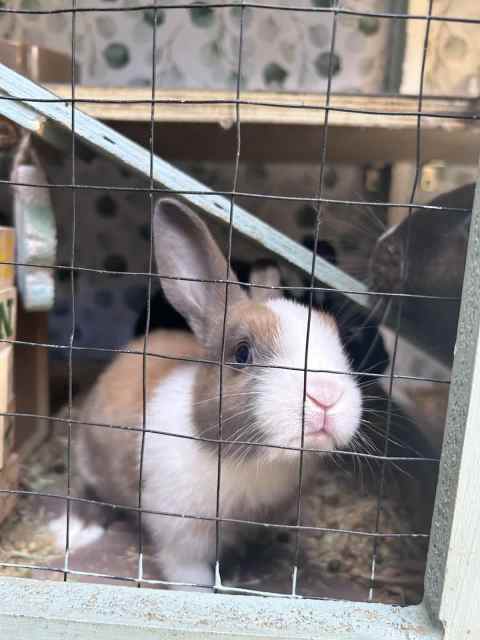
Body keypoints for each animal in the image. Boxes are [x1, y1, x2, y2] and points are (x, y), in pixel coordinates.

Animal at [69, 198, 362, 590]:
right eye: (242, 353)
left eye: (338, 340)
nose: (326, 395)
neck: (253, 463)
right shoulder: (181, 535)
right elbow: (190, 575)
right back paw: (80, 528)